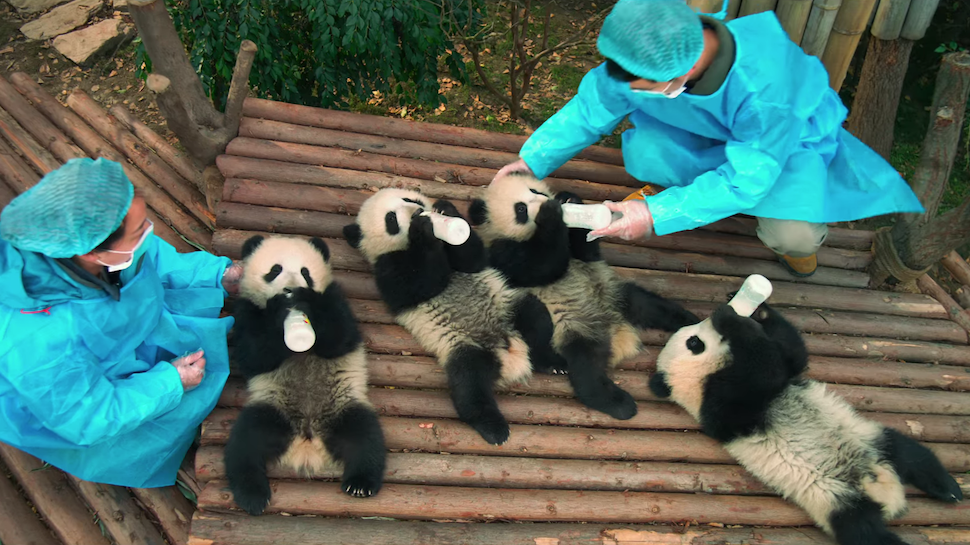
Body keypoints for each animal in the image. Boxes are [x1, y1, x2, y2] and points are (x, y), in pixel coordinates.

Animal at [224, 235, 386, 516]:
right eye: (275, 270)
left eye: (305, 272)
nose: (290, 290)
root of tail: (307, 440)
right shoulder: (245, 310)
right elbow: (252, 355)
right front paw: (278, 308)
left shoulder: (334, 299)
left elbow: (339, 338)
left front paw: (305, 301)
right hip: (272, 408)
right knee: (245, 444)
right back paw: (252, 495)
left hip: (343, 407)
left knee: (365, 438)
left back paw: (360, 484)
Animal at [343, 188, 566, 446]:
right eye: (391, 219)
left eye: (409, 199)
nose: (418, 212)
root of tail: (509, 353)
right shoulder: (387, 268)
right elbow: (419, 285)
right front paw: (423, 230)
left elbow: (472, 259)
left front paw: (445, 210)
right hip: (461, 345)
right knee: (469, 383)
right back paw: (494, 428)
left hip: (508, 306)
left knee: (536, 318)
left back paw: (551, 363)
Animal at [468, 172, 699, 420]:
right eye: (520, 209)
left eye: (535, 191)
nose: (545, 201)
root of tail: (617, 331)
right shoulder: (504, 254)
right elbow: (541, 267)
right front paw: (550, 215)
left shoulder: (583, 258)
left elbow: (585, 251)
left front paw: (569, 199)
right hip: (573, 326)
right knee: (586, 366)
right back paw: (617, 402)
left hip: (614, 293)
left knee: (650, 305)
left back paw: (690, 320)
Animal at [650, 301, 963, 545]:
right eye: (694, 342)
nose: (708, 319)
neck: (703, 377)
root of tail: (881, 490)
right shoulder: (722, 407)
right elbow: (763, 370)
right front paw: (734, 321)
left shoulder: (783, 380)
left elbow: (791, 355)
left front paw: (755, 310)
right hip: (835, 502)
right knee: (866, 532)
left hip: (870, 438)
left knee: (913, 456)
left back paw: (950, 490)